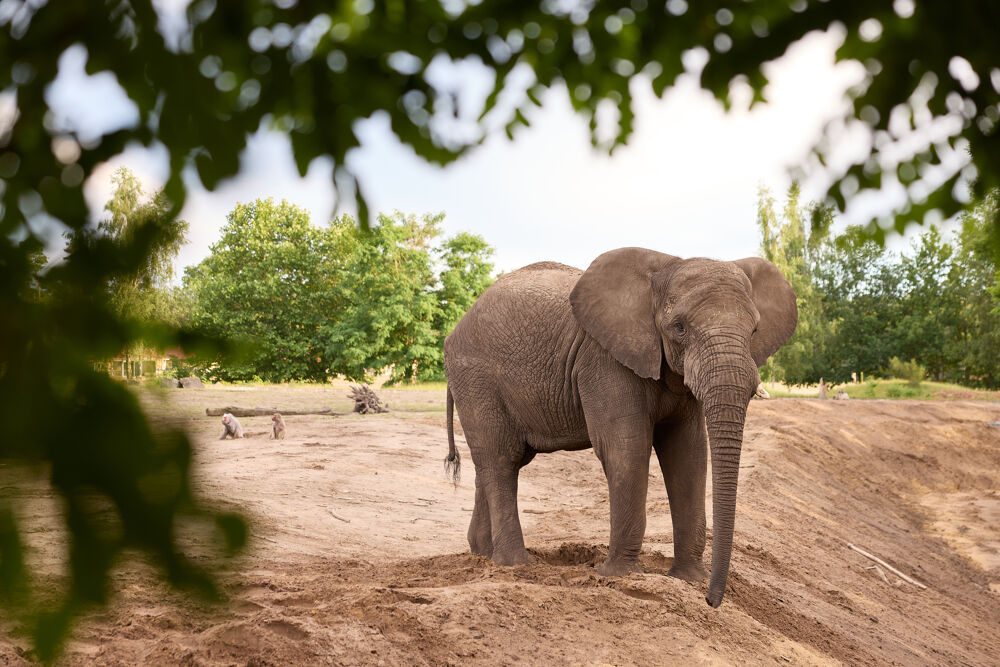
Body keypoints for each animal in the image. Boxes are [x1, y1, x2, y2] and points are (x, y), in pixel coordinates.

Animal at [442, 248, 797, 607]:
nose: (712, 601)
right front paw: (620, 576)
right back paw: (516, 565)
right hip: (476, 379)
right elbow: (627, 448)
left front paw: (688, 579)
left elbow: (688, 453)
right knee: (501, 460)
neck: (667, 266)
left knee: (497, 463)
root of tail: (455, 330)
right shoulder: (604, 360)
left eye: (754, 331)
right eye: (679, 328)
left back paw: (483, 555)